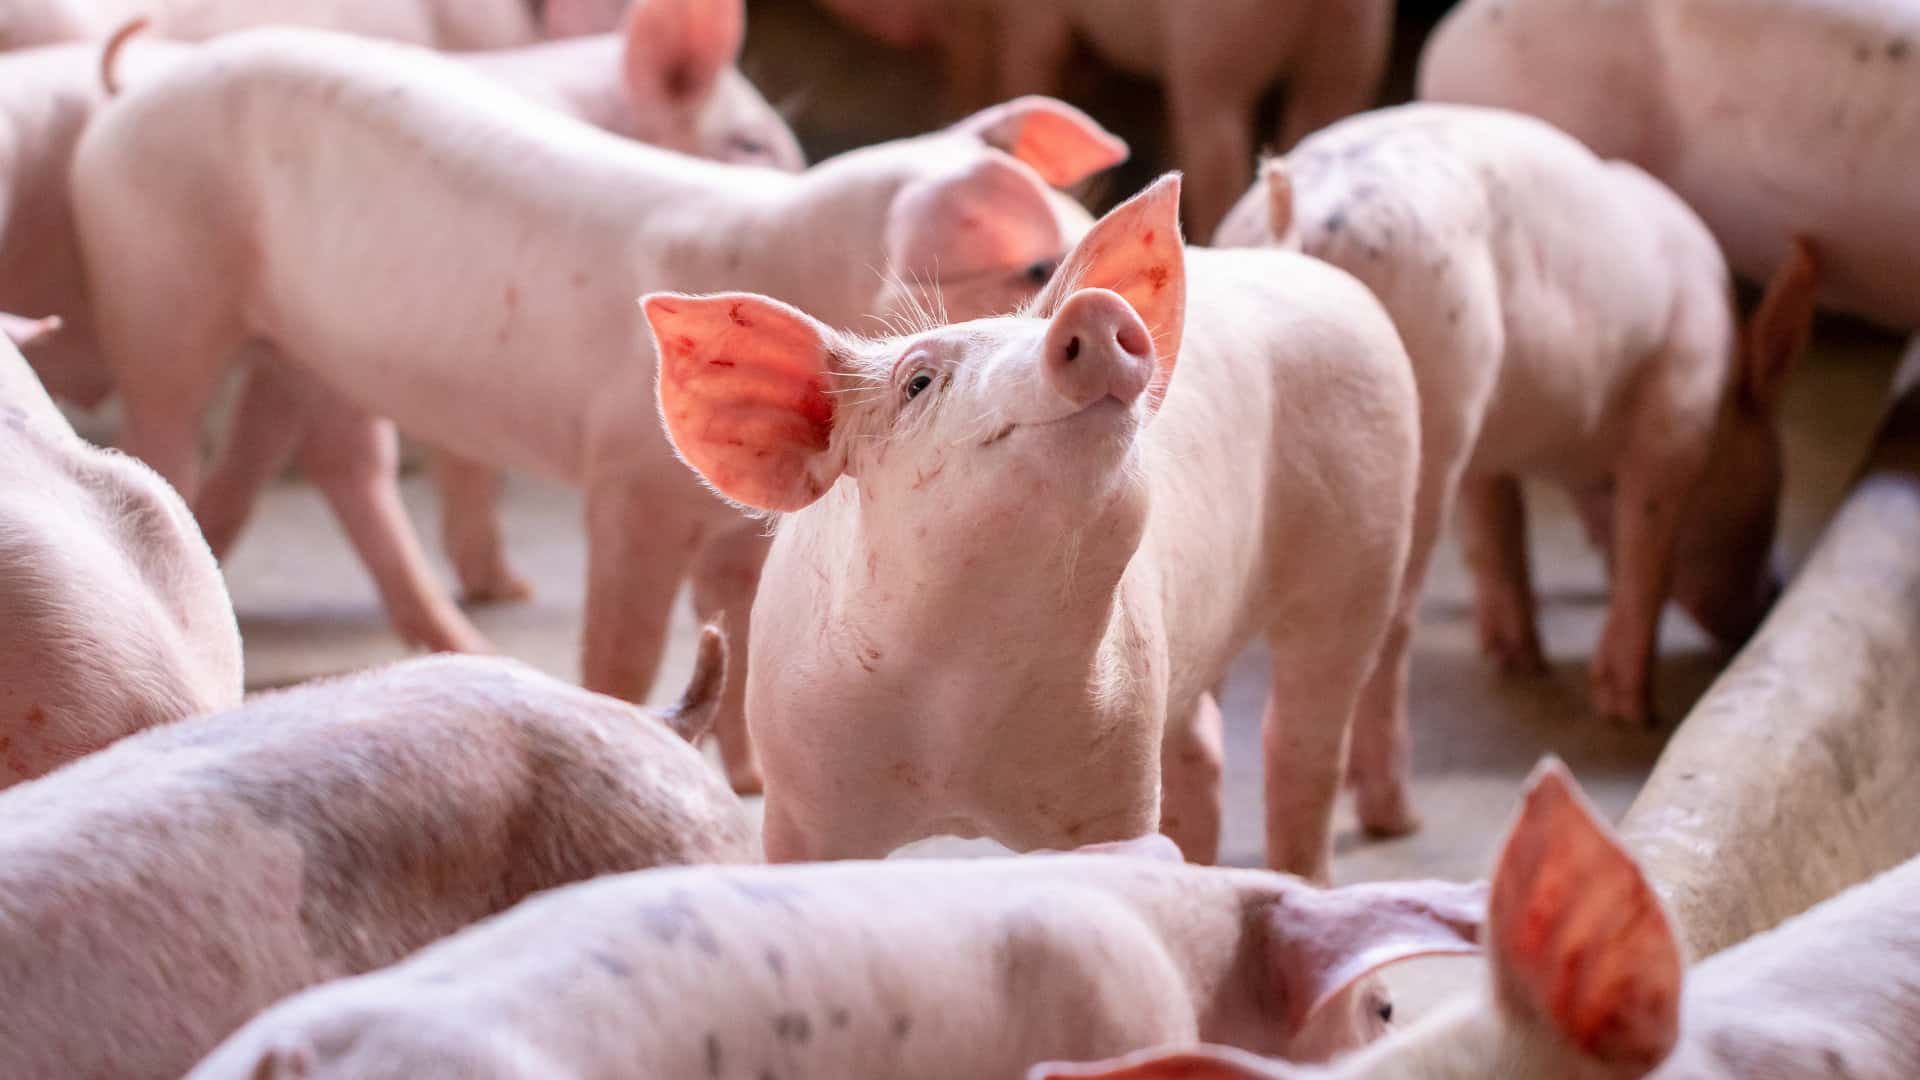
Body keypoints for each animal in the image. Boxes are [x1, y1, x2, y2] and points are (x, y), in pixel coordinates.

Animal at [72, 22, 1127, 794]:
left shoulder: (741, 522)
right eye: (1032, 265)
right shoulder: (629, 482)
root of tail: (131, 95)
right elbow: (625, 641)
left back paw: (468, 636)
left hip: (309, 349)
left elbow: (744, 630)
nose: (1116, 319)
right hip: (155, 277)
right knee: (172, 431)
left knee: (338, 463)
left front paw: (751, 782)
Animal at [648, 175, 1421, 878]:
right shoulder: (802, 799)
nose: (1094, 308)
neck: (957, 703)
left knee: (1303, 745)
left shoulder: (1118, 765)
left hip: (1367, 543)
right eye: (917, 384)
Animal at [1212, 107, 1817, 833]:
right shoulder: (1677, 412)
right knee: (1392, 626)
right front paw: (1633, 711)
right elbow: (1646, 548)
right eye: (1770, 496)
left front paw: (1518, 659)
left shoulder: (1491, 450)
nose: (1773, 594)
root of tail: (1295, 218)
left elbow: (1498, 531)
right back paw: (1400, 816)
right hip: (1434, 408)